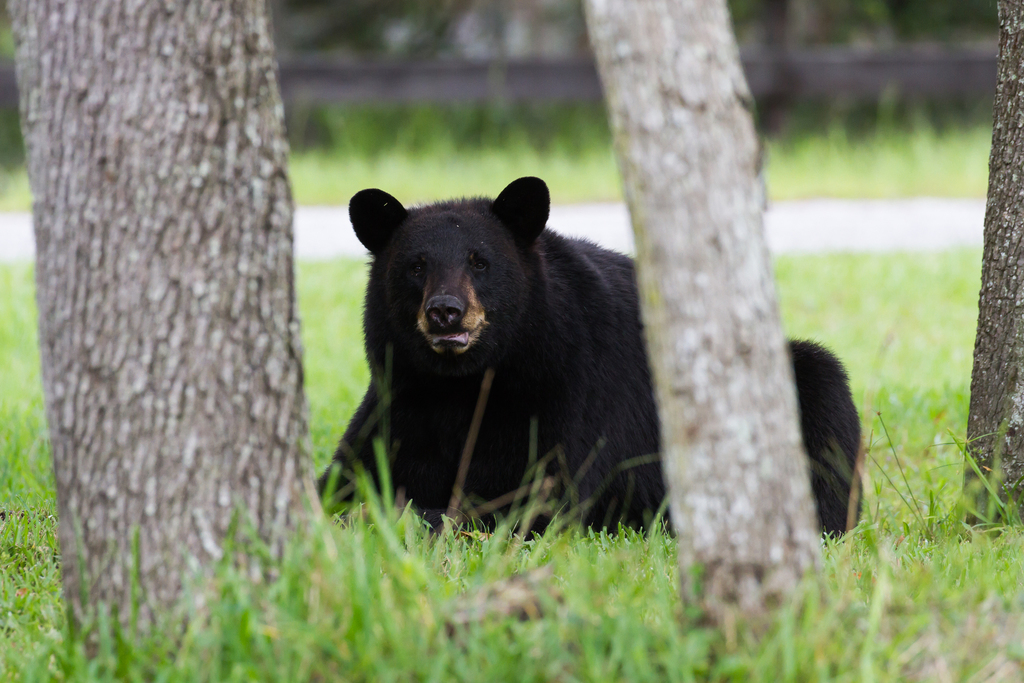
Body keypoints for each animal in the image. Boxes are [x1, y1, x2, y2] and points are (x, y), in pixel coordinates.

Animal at [318, 176, 861, 536]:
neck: (461, 384)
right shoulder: (401, 396)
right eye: (415, 266)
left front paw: (404, 515)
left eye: (480, 261)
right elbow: (344, 475)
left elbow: (538, 496)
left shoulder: (563, 392)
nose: (445, 312)